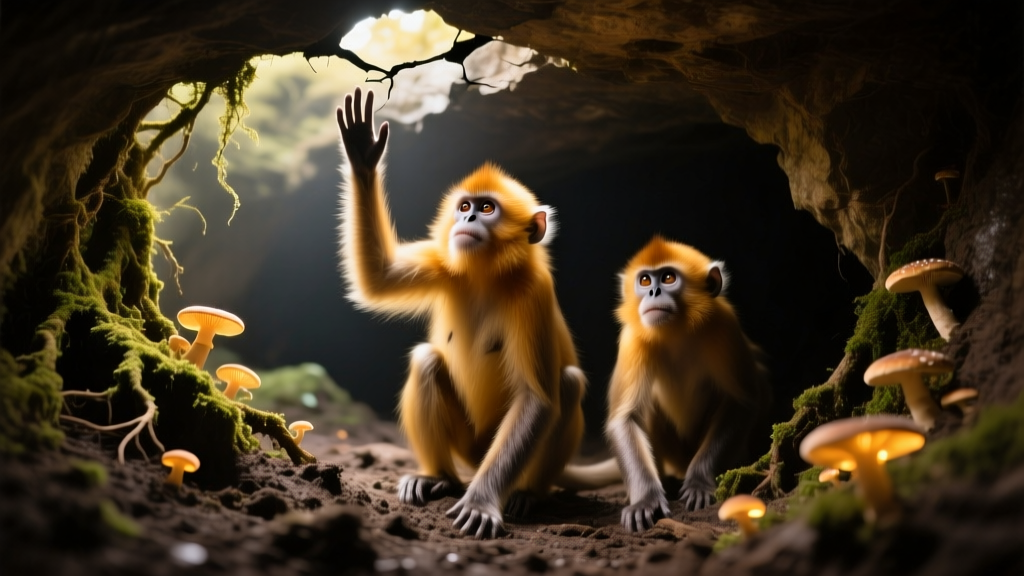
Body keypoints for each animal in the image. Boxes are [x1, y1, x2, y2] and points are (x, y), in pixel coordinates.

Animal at [336, 88, 586, 538]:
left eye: (487, 209)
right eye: (466, 205)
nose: (467, 217)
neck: (487, 274)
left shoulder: (534, 291)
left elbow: (536, 399)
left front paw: (482, 501)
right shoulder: (446, 261)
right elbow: (378, 277)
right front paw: (363, 153)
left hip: (493, 449)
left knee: (568, 383)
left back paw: (529, 494)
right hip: (468, 444)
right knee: (426, 360)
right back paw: (439, 478)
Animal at [558, 236, 770, 532]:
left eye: (668, 278)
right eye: (645, 280)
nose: (653, 293)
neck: (676, 330)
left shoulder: (724, 324)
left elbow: (741, 402)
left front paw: (700, 481)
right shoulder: (634, 336)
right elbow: (625, 419)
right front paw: (645, 500)